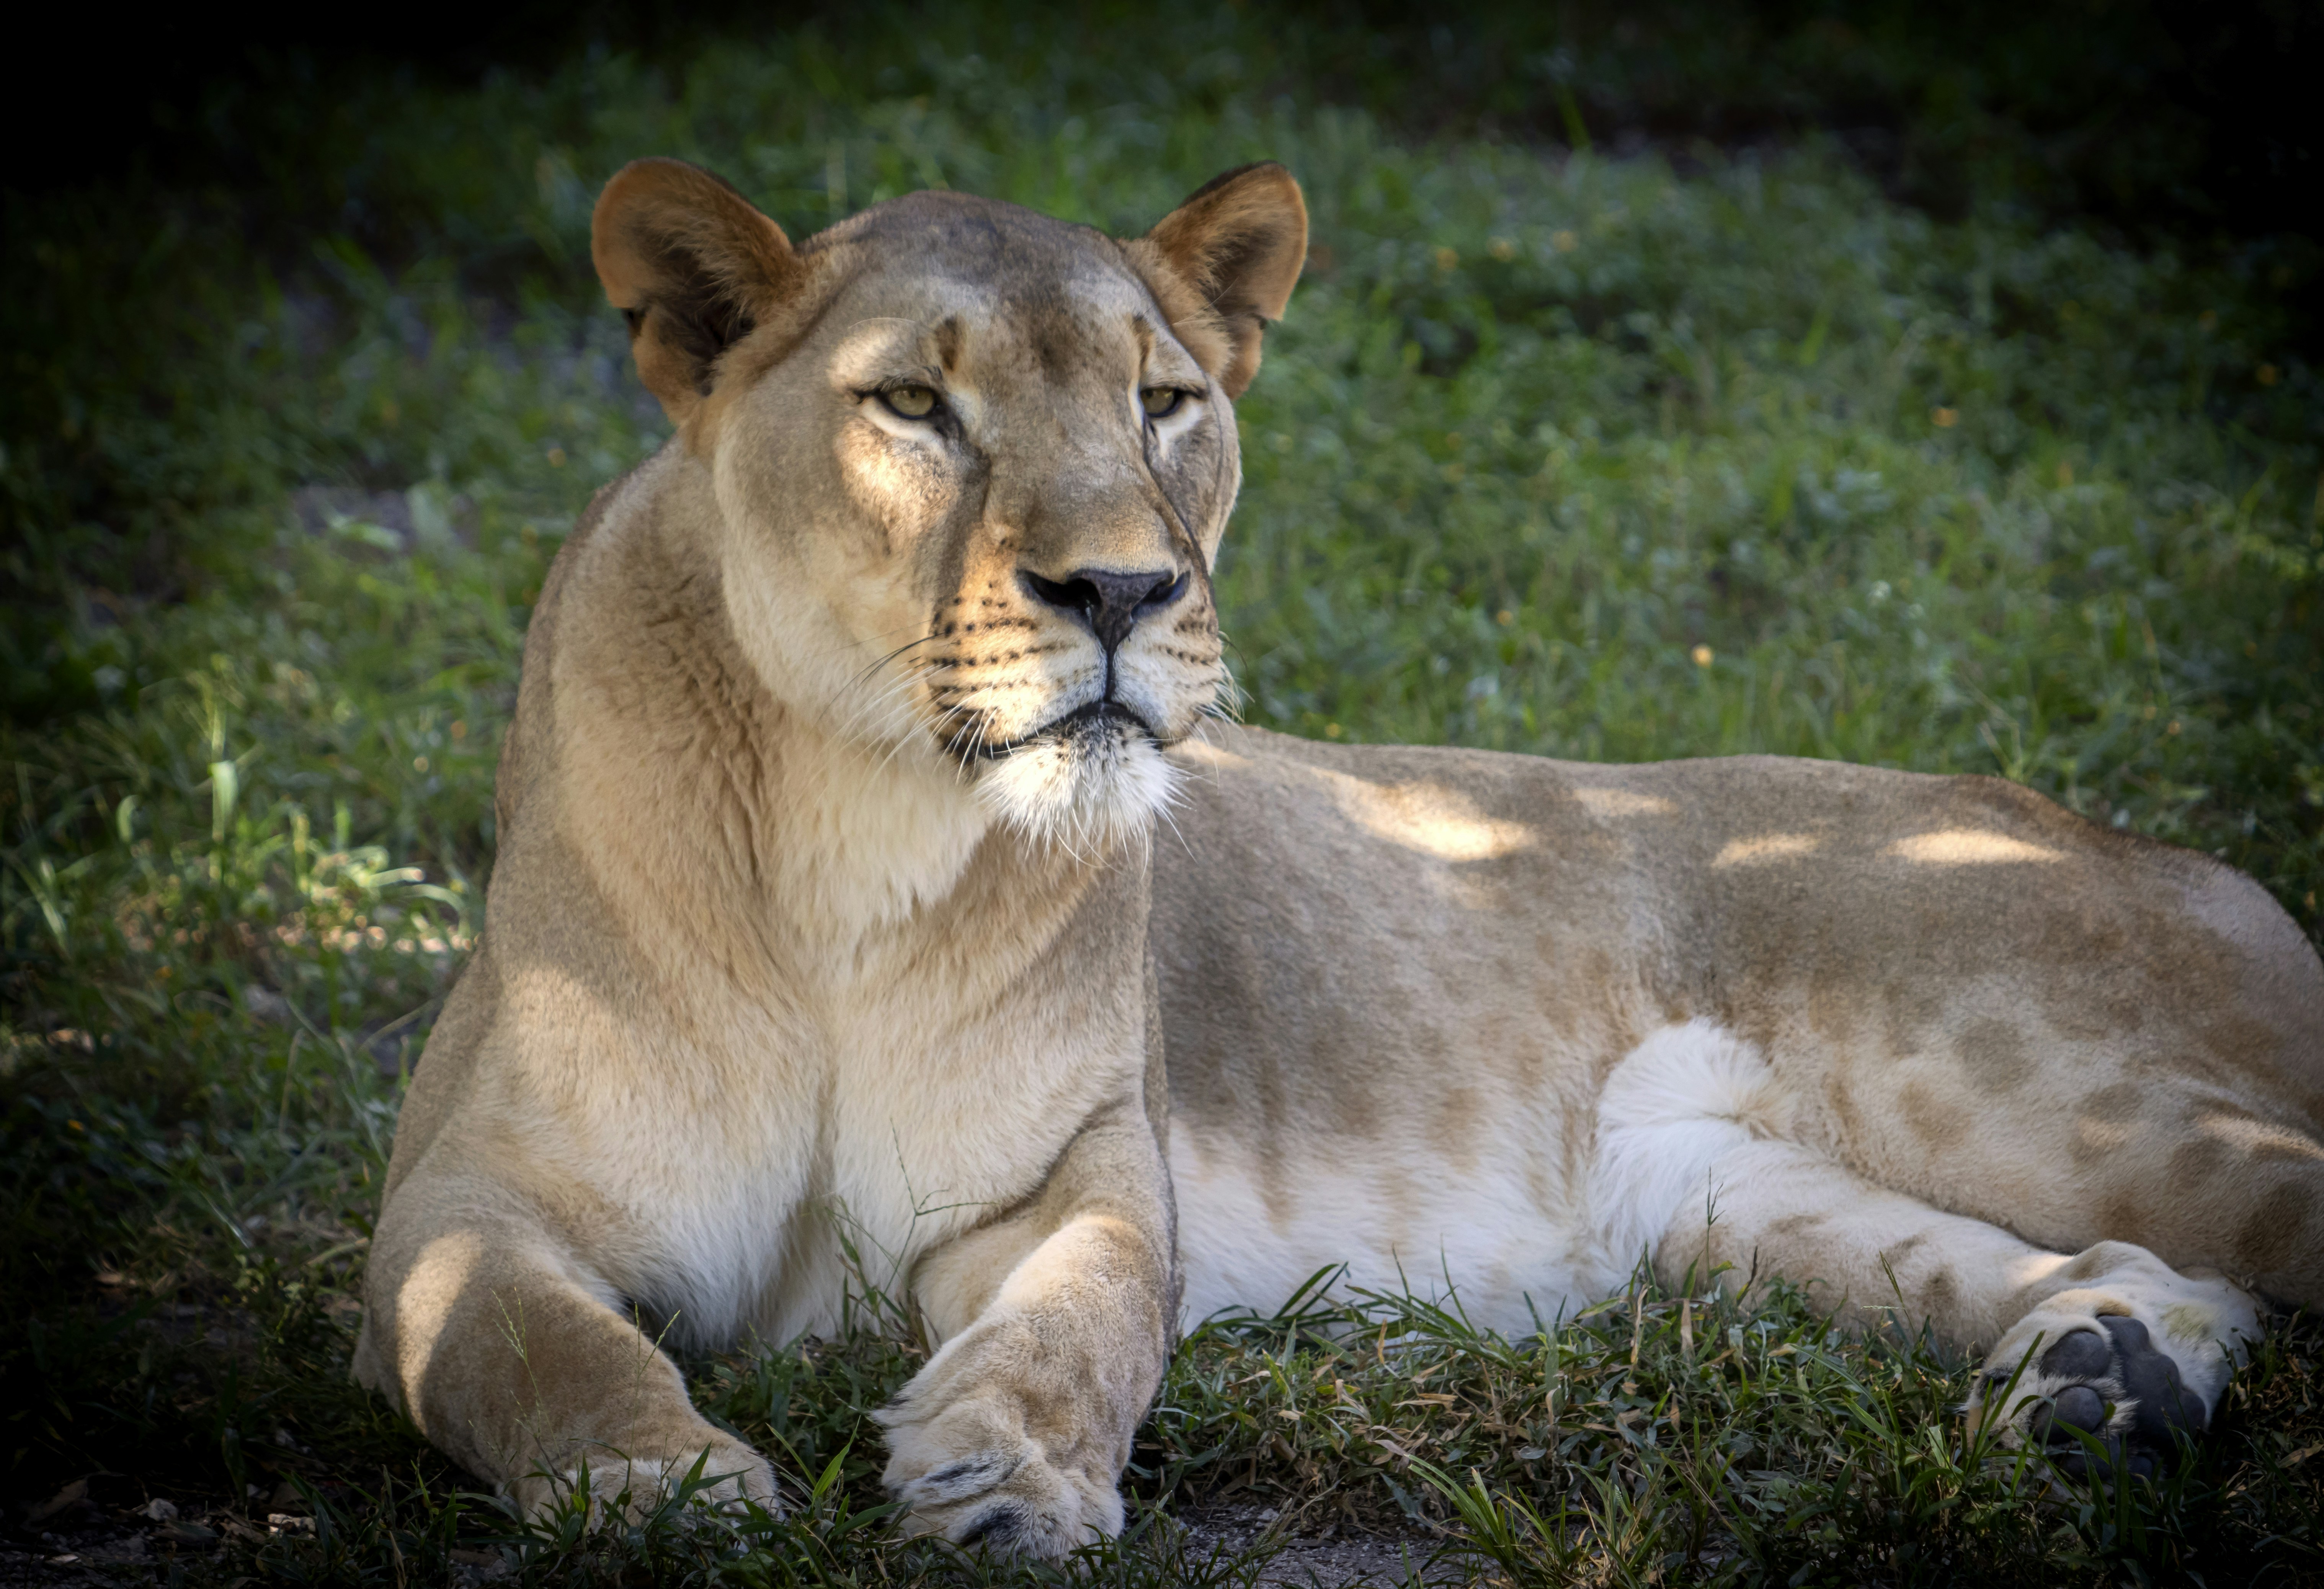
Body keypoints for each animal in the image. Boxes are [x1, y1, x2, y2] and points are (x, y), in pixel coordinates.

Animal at [354, 155, 2324, 1554]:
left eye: (1161, 401)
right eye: (912, 404)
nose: (1120, 589)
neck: (866, 831)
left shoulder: (1078, 1172)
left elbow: (1088, 1316)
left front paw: (1004, 1472)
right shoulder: (458, 1199)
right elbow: (522, 1343)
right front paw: (654, 1489)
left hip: (2031, 1095)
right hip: (1720, 1203)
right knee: (2139, 1272)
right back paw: (2099, 1382)